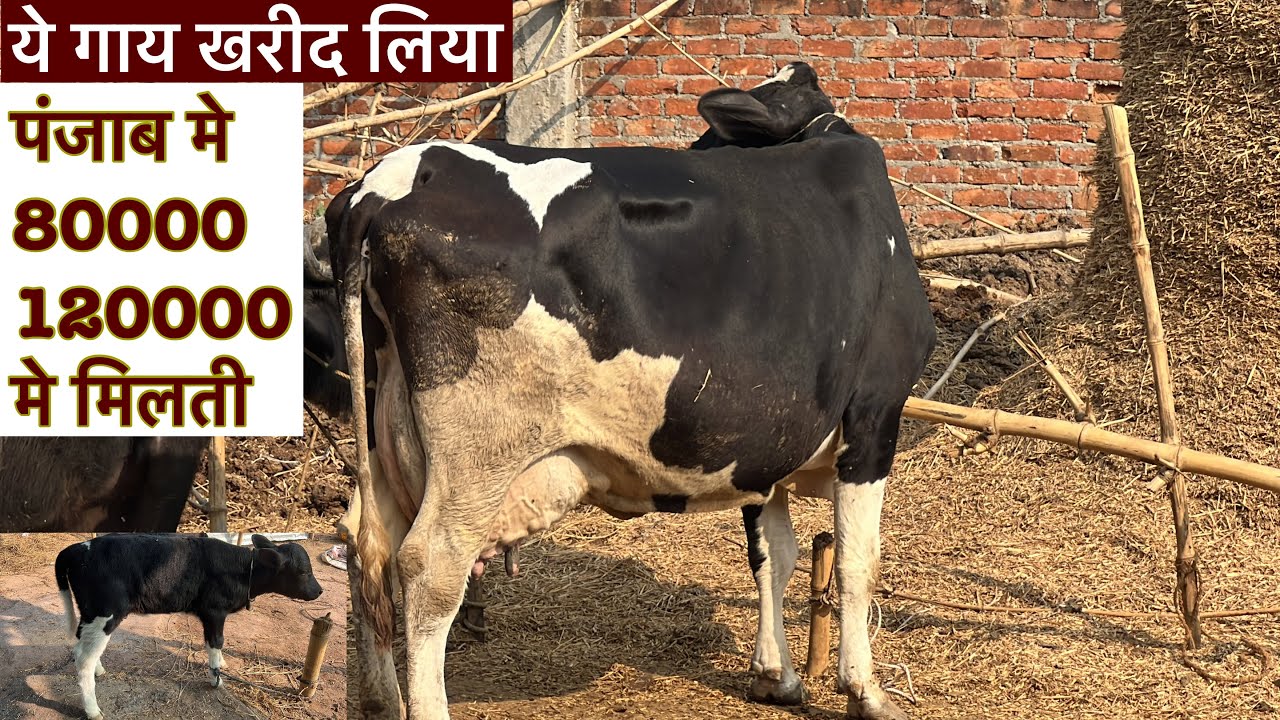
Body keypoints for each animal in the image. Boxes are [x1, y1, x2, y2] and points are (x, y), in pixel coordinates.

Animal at [54, 533, 325, 720]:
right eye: (304, 572)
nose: (320, 591)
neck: (243, 571)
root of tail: (77, 548)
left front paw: (222, 664)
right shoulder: (214, 611)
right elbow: (215, 642)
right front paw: (216, 678)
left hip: (90, 615)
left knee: (82, 647)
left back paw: (99, 670)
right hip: (105, 613)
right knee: (83, 658)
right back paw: (93, 710)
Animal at [318, 61, 936, 720]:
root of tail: (387, 181)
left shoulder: (762, 441)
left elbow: (773, 555)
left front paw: (776, 676)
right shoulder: (874, 415)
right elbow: (856, 560)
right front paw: (864, 689)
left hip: (382, 428)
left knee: (366, 544)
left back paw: (380, 698)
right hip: (477, 451)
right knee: (428, 567)